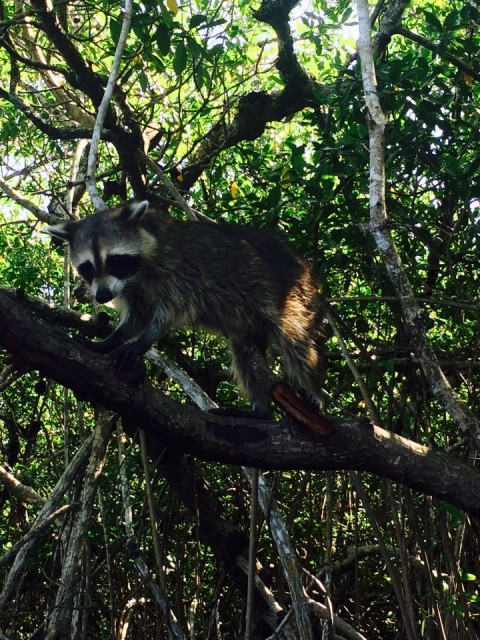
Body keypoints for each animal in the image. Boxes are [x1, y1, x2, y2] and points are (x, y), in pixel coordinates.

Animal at [47, 201, 326, 418]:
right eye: (87, 267)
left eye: (115, 261)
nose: (103, 296)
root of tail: (306, 266)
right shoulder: (132, 290)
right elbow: (136, 318)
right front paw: (109, 341)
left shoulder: (180, 271)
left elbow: (170, 312)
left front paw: (143, 341)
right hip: (249, 325)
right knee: (246, 355)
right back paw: (261, 410)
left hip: (293, 298)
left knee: (296, 343)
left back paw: (312, 388)